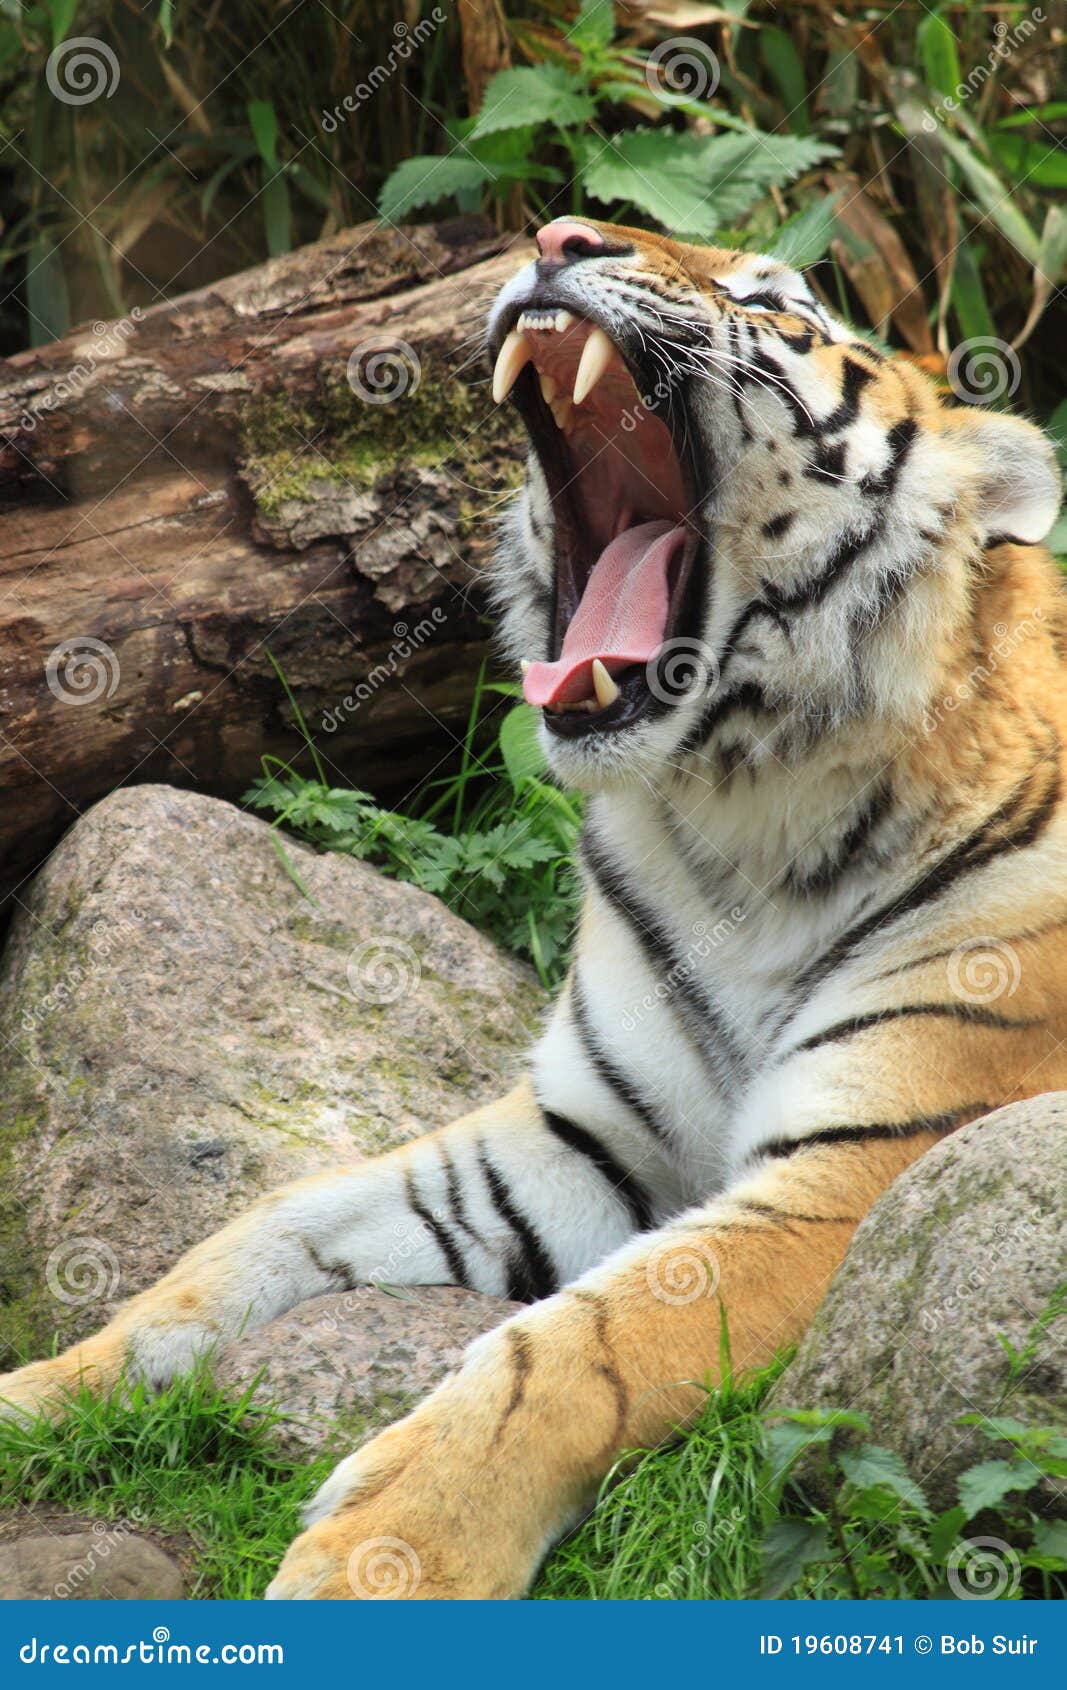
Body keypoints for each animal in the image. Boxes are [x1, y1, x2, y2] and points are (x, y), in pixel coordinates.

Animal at [1, 216, 1064, 1601]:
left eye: (775, 301)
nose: (559, 235)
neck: (735, 825)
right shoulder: (581, 1131)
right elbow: (260, 1232)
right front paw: (39, 1395)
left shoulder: (855, 1172)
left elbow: (583, 1343)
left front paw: (385, 1556)